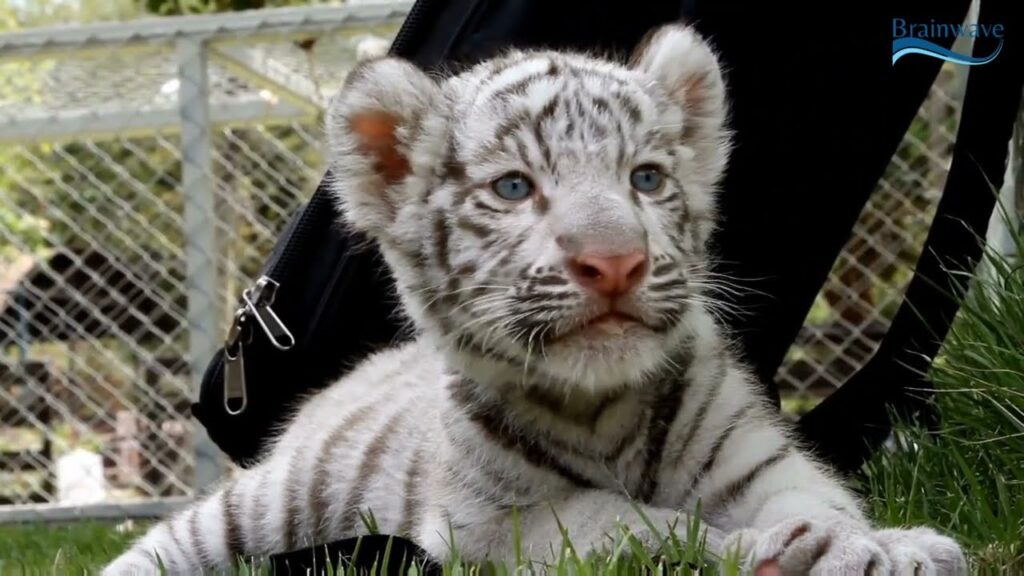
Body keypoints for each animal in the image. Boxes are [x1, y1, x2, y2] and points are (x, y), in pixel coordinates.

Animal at [104, 24, 966, 575]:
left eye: (645, 178)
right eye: (515, 189)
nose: (615, 262)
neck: (604, 410)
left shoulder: (757, 461)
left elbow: (823, 501)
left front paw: (884, 547)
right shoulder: (499, 522)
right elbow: (633, 522)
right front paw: (764, 554)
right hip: (267, 499)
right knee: (170, 544)